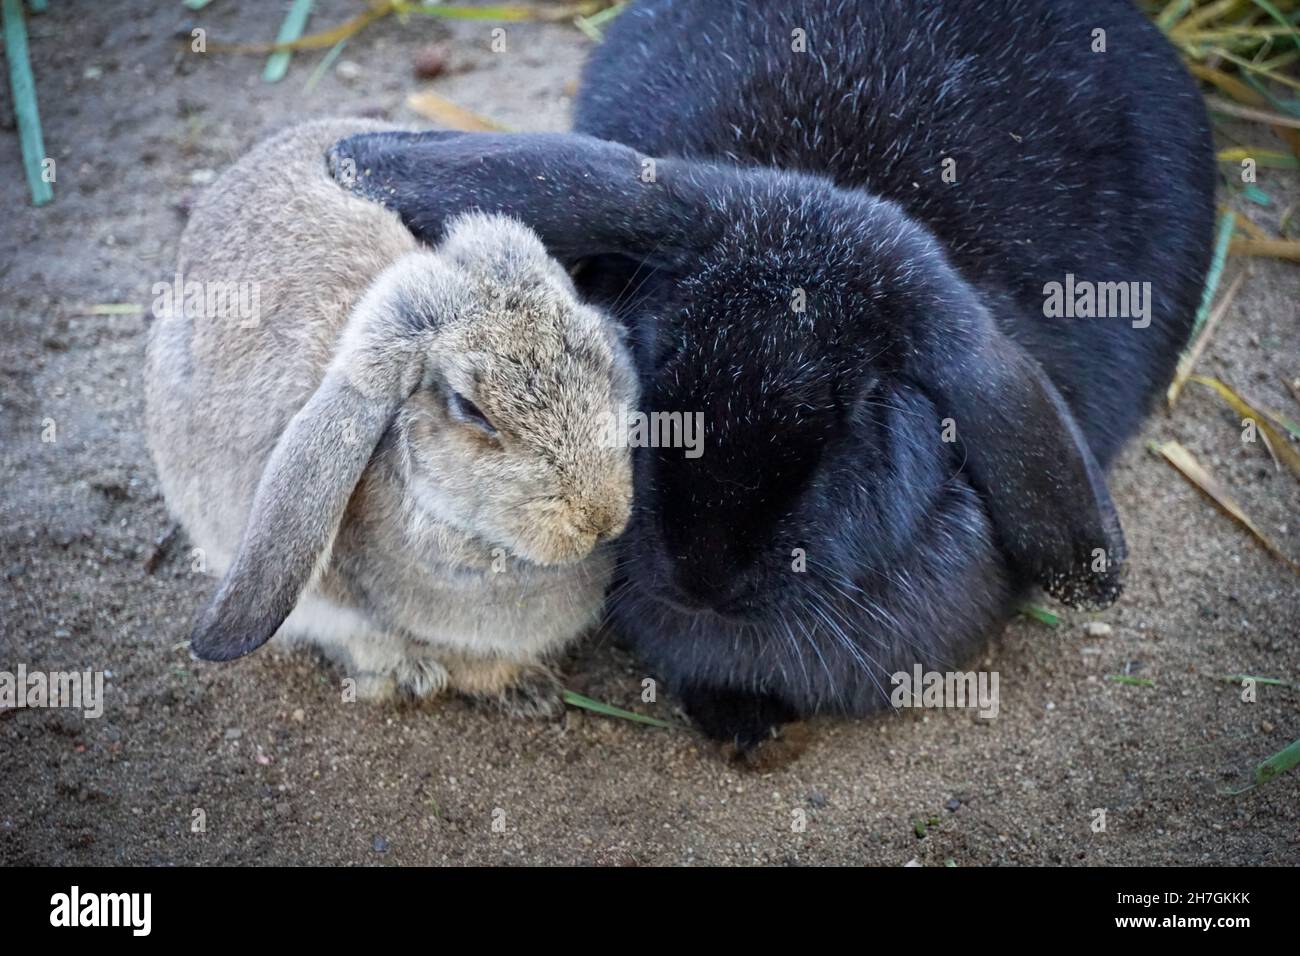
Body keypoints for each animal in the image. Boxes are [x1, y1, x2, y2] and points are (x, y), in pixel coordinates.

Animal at [145, 119, 638, 715]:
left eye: (603, 355)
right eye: (472, 409)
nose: (600, 517)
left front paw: (526, 689)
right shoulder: (331, 610)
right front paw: (416, 678)